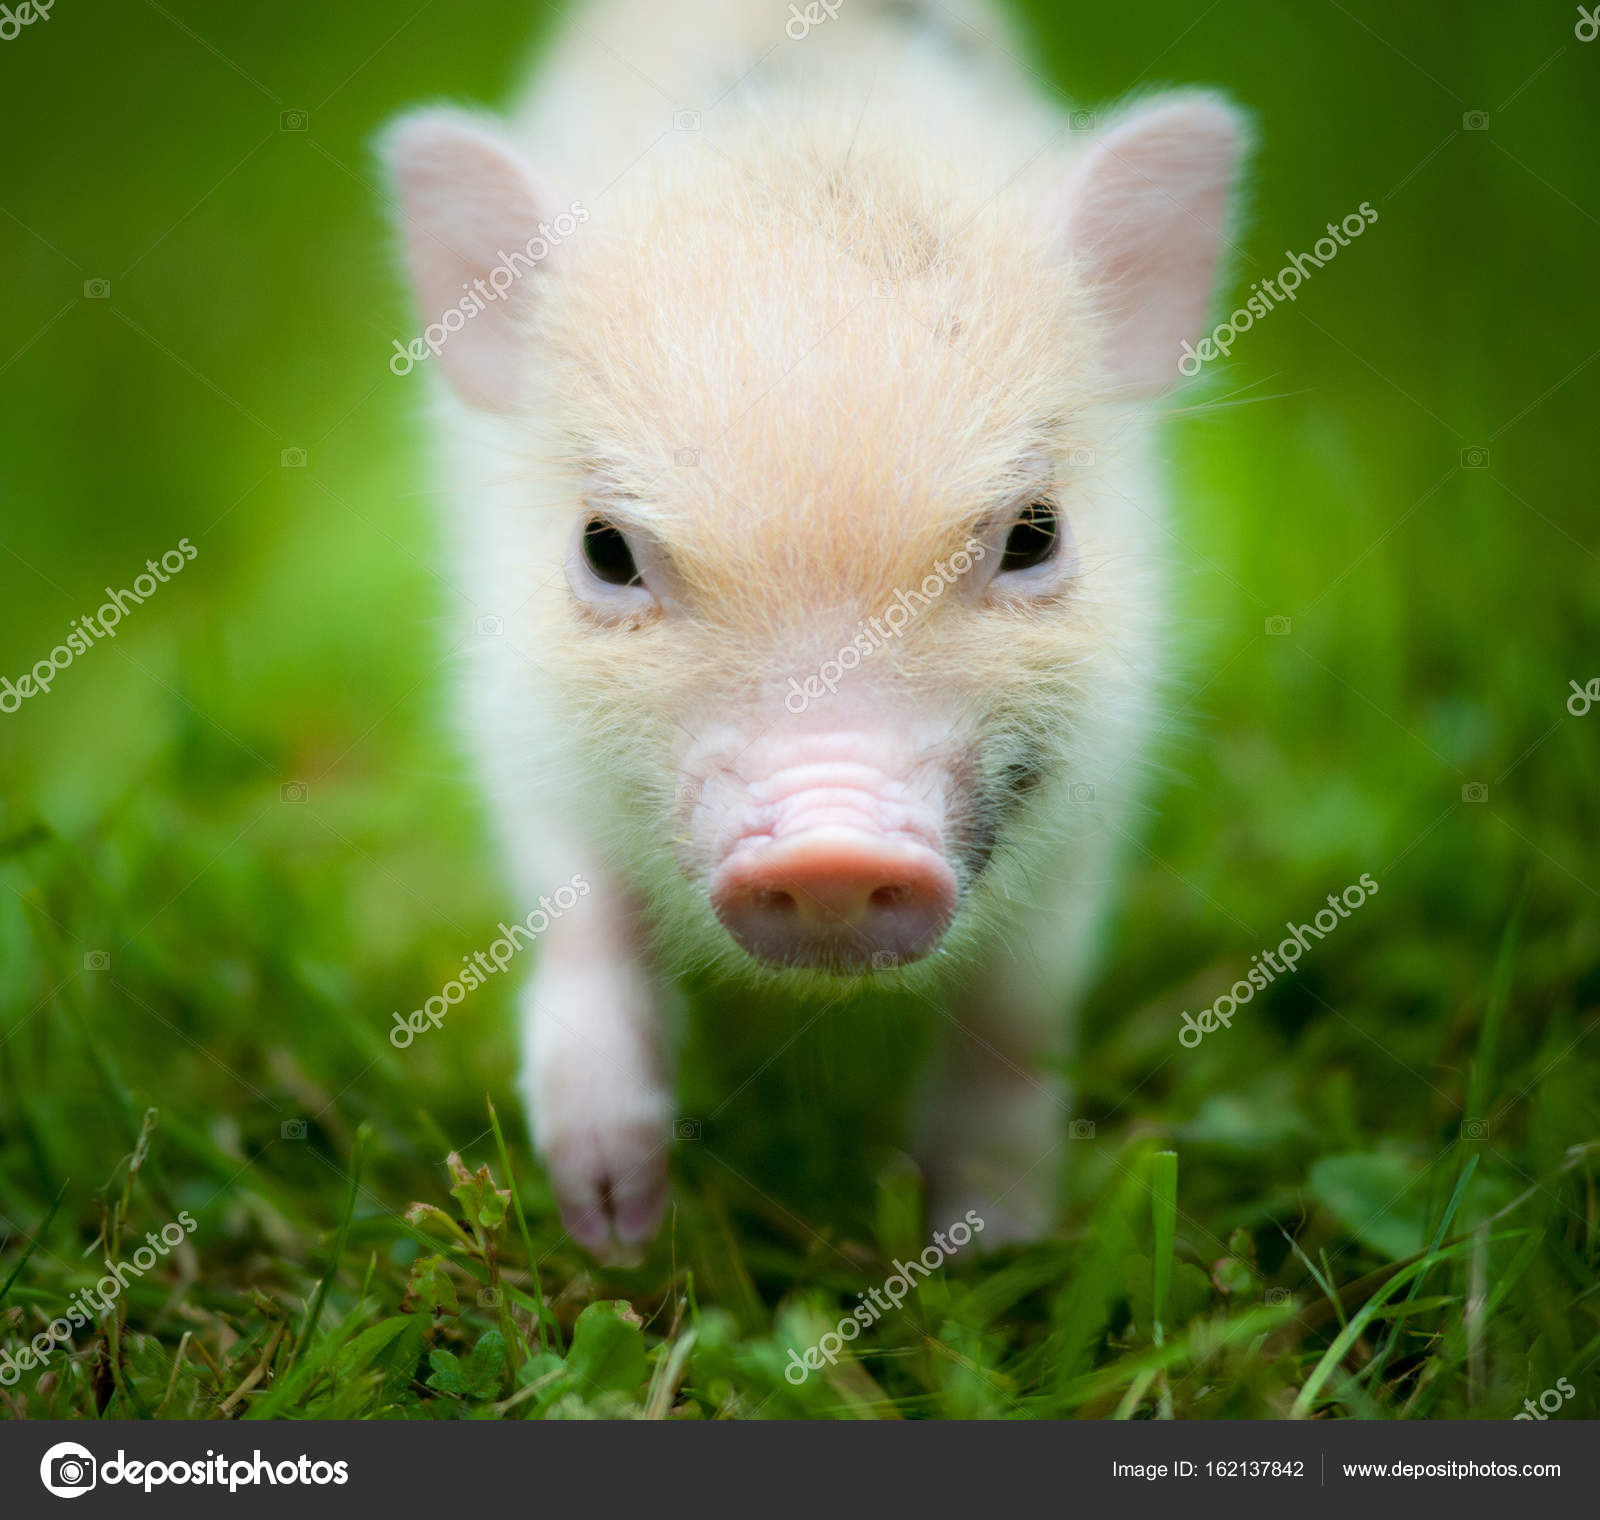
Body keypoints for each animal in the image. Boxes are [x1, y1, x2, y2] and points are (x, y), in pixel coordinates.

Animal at [382, 0, 1245, 1260]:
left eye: (1033, 532)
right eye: (605, 548)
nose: (830, 850)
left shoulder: (1108, 768)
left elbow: (1019, 1002)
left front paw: (983, 1240)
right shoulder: (514, 726)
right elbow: (580, 927)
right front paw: (614, 1227)